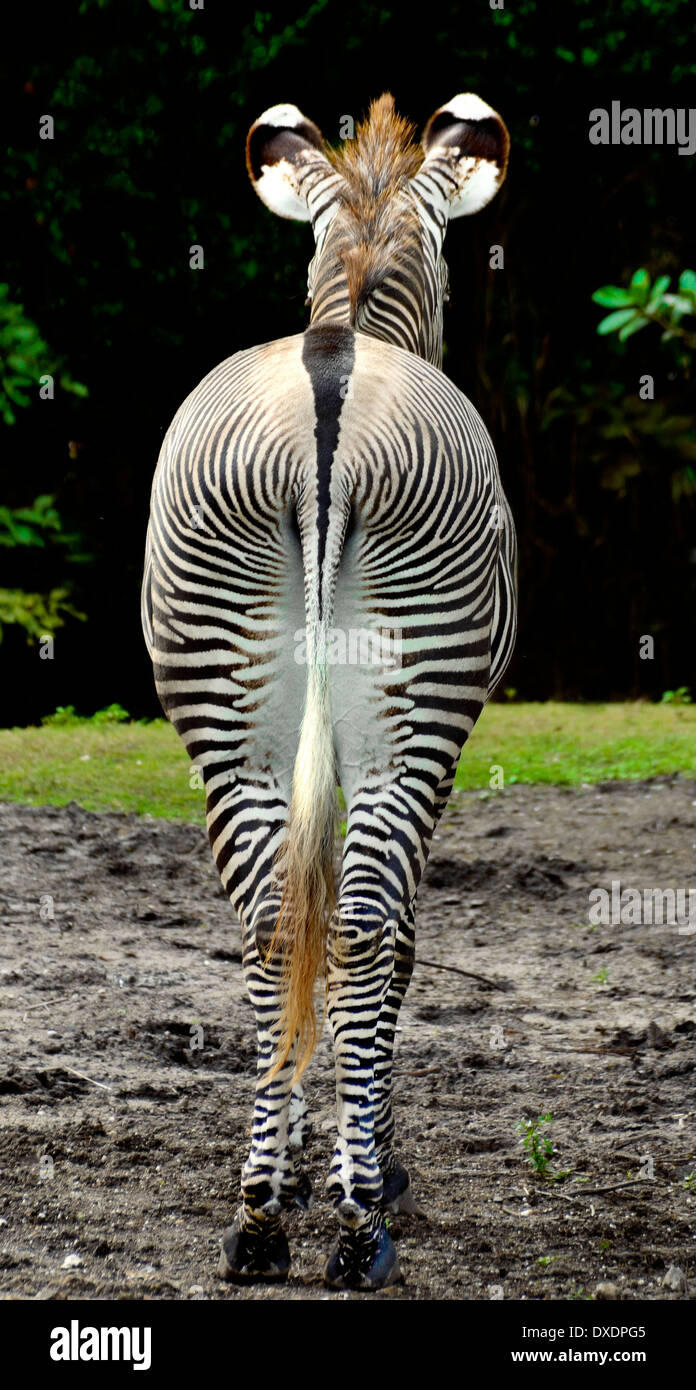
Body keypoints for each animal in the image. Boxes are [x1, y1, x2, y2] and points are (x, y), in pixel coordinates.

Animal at [142, 91, 516, 1291]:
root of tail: (330, 381)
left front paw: (301, 1161)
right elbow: (396, 940)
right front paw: (369, 1161)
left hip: (225, 701)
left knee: (274, 922)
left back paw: (261, 1217)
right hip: (416, 715)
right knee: (355, 928)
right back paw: (359, 1226)